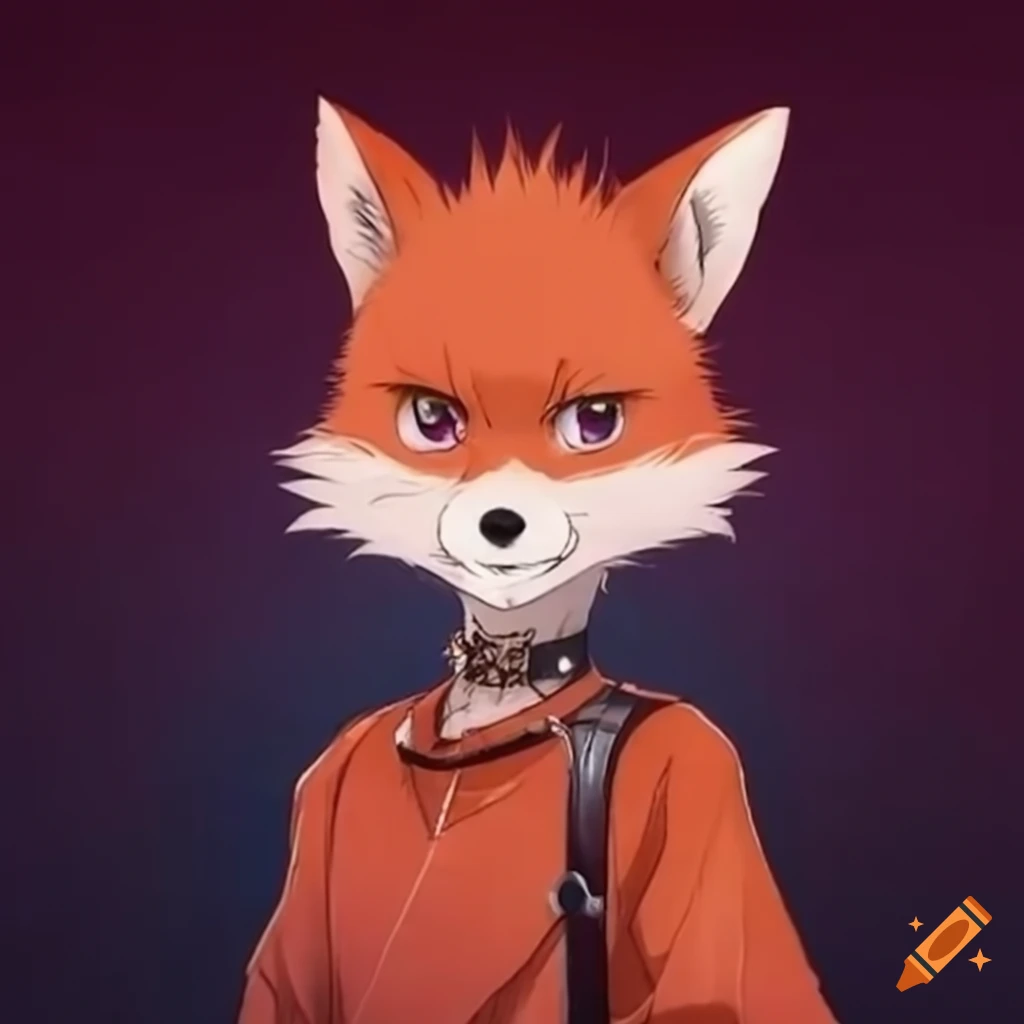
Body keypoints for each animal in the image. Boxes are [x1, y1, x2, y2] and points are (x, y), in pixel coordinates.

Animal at [238, 98, 840, 1024]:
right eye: (432, 420)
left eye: (594, 422)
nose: (500, 523)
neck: (501, 699)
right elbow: (289, 979)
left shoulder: (703, 774)